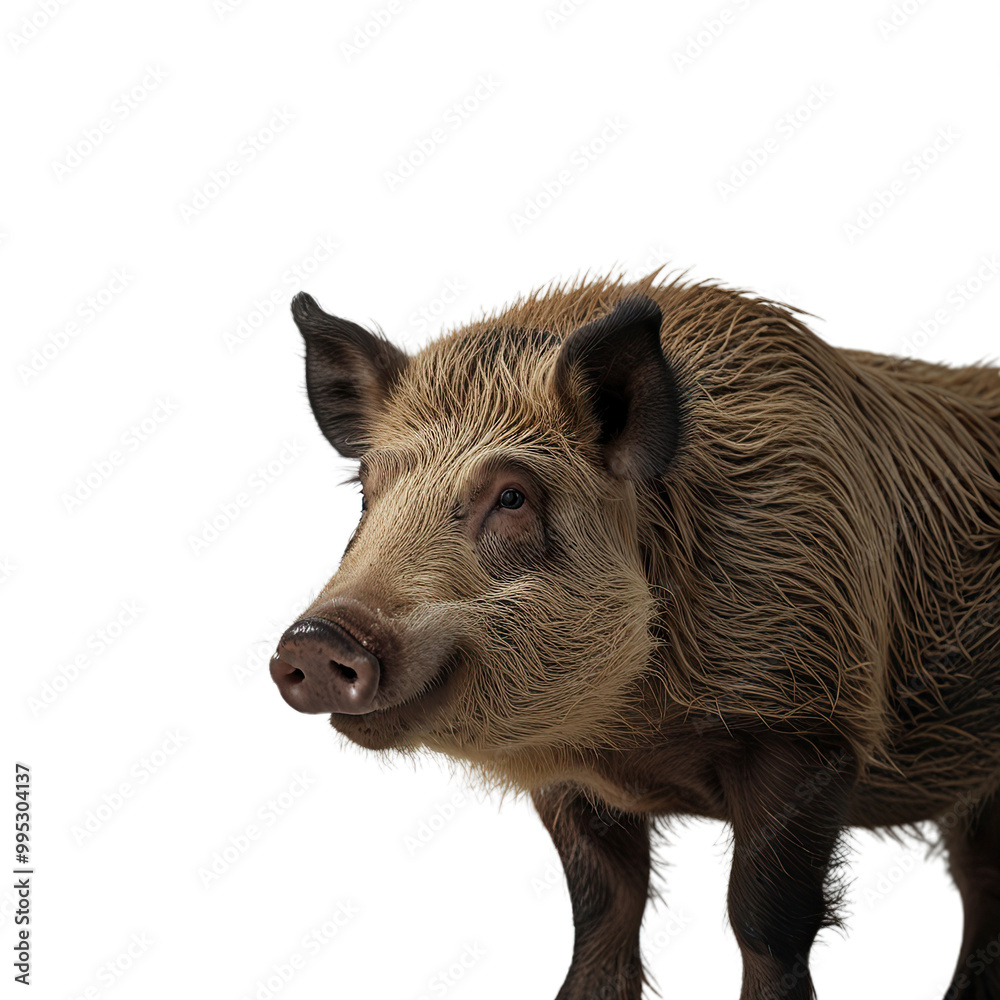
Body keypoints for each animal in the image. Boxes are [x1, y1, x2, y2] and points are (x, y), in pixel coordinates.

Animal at [269, 273, 1000, 1000]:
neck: (635, 733)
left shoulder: (814, 723)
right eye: (368, 493)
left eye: (512, 497)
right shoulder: (573, 781)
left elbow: (764, 923)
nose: (315, 637)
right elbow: (603, 911)